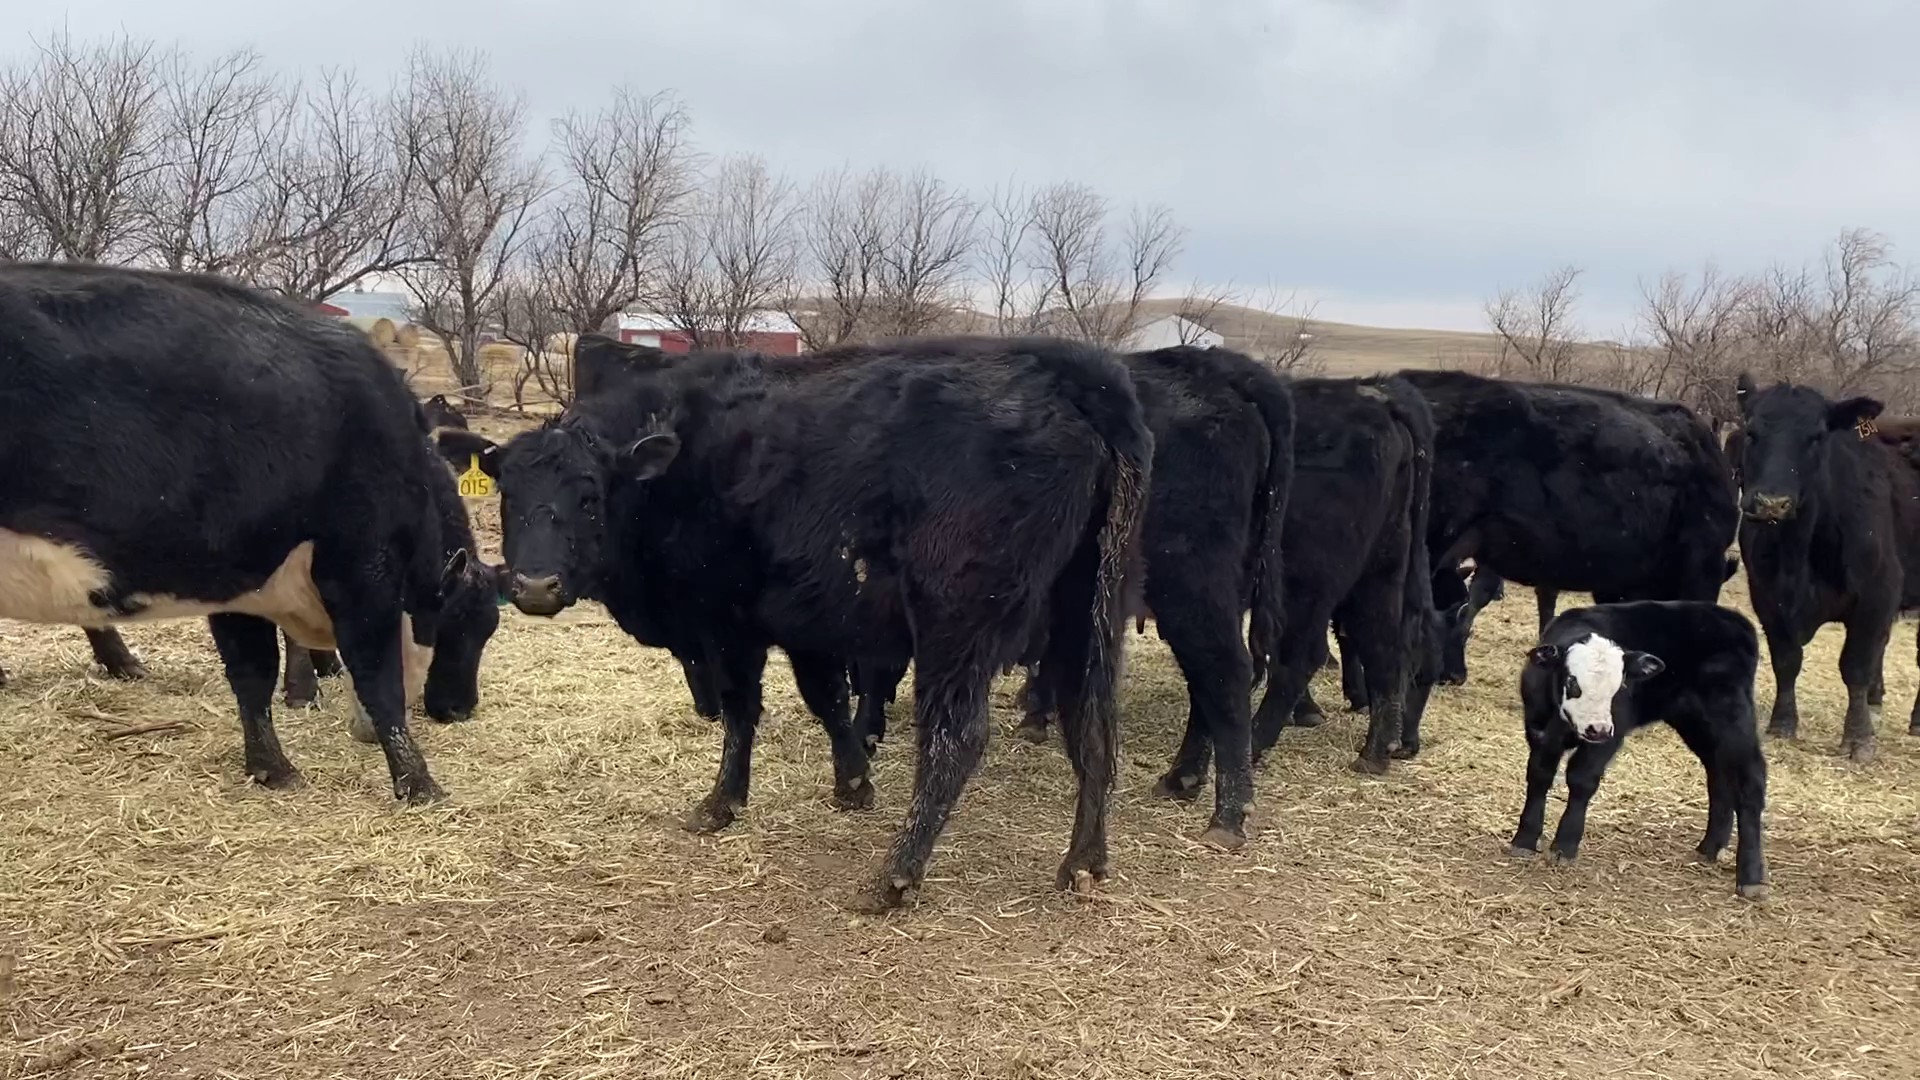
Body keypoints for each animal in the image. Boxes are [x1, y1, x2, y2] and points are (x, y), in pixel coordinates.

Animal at [0, 262, 500, 802]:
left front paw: (271, 767)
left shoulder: (240, 578)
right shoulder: (363, 568)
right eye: (471, 623)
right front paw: (419, 783)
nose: (460, 710)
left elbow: (251, 674)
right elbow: (378, 679)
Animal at [439, 334, 1151, 909]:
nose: (535, 586)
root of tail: (1067, 370)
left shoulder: (728, 625)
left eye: (589, 496)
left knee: (958, 737)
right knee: (1091, 725)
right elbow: (828, 700)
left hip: (959, 622)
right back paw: (1083, 863)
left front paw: (721, 803)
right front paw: (853, 783)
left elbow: (741, 712)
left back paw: (896, 875)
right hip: (1084, 611)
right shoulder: (808, 620)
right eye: (508, 494)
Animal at [1510, 601, 1768, 900]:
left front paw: (1565, 846)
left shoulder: (1612, 733)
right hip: (1697, 724)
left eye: (1619, 686)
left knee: (1751, 781)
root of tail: (1735, 619)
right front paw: (1525, 839)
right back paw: (1710, 847)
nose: (1597, 729)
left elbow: (1581, 779)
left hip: (1733, 718)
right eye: (1573, 682)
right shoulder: (1538, 730)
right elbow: (1539, 775)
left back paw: (1751, 878)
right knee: (1718, 776)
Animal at [1731, 374, 1920, 761]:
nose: (1772, 503)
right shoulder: (1766, 597)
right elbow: (1786, 660)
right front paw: (1782, 724)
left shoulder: (1877, 594)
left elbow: (1855, 666)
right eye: (1752, 431)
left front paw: (1859, 740)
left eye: (1817, 436)